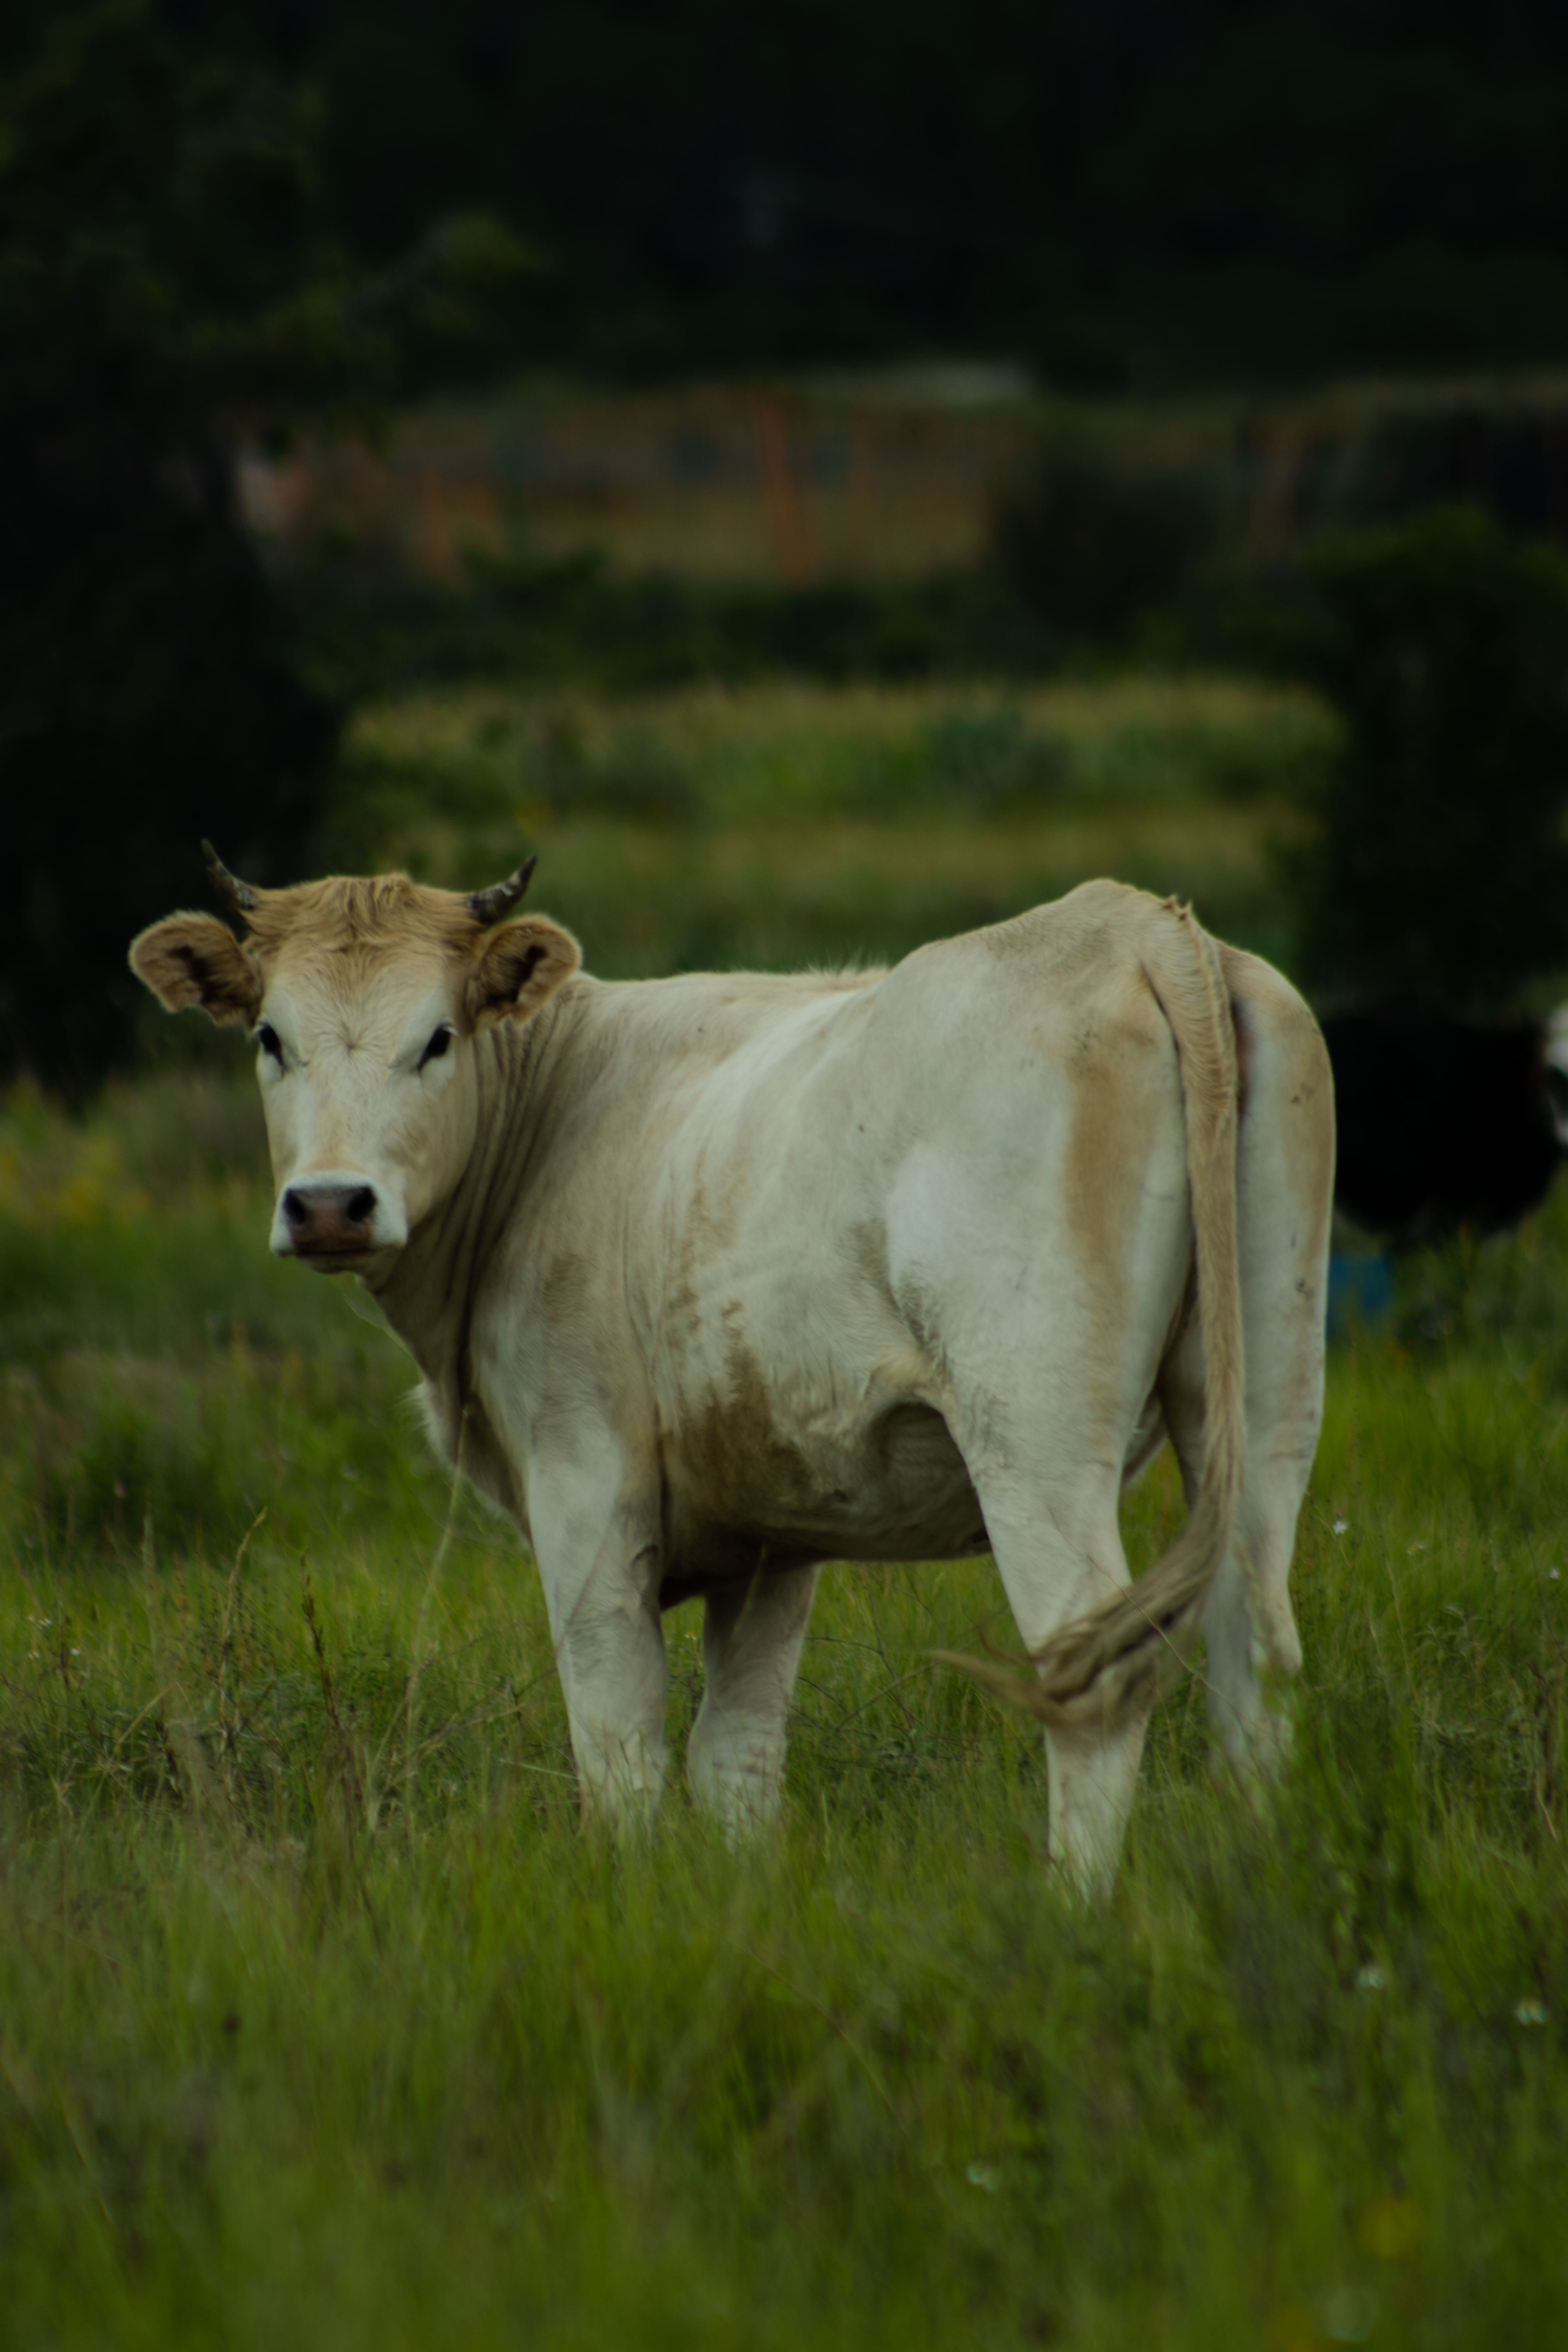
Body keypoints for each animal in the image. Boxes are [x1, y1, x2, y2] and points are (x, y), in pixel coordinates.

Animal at [129, 849, 1334, 1898]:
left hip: (1034, 1431)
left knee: (1096, 1662)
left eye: (436, 1039)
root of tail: (1129, 921)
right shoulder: (771, 1524)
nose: (332, 1203)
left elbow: (619, 1745)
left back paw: (1074, 1907)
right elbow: (734, 1760)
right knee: (1253, 1636)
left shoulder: (584, 1482)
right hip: (1266, 1394)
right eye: (270, 1037)